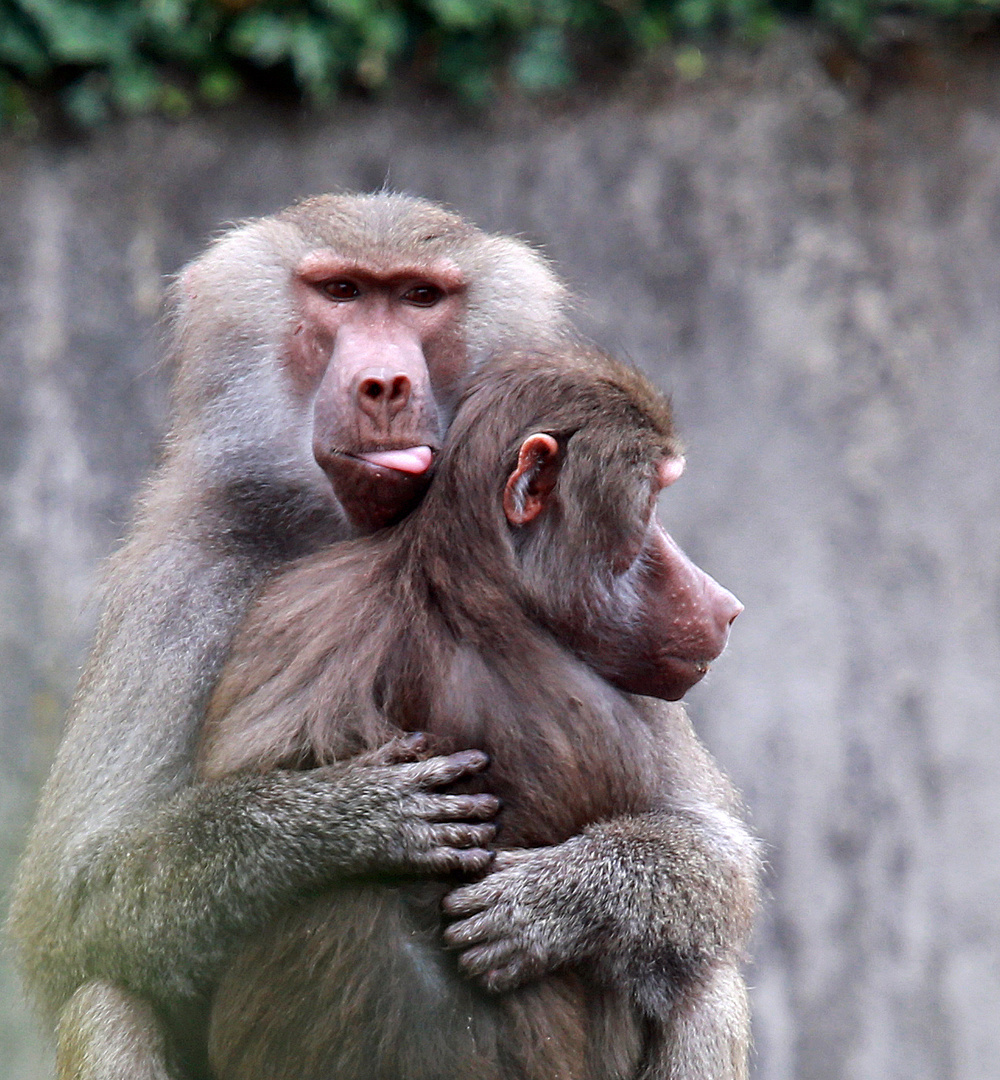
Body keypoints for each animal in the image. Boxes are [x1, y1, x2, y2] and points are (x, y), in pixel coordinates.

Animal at [8, 193, 574, 1080]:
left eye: (421, 298)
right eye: (341, 292)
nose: (385, 385)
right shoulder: (184, 579)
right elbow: (69, 910)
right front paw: (342, 818)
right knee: (105, 1000)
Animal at [196, 347, 761, 1080]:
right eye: (654, 504)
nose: (725, 604)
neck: (460, 575)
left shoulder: (307, 608)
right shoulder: (619, 696)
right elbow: (716, 854)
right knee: (702, 974)